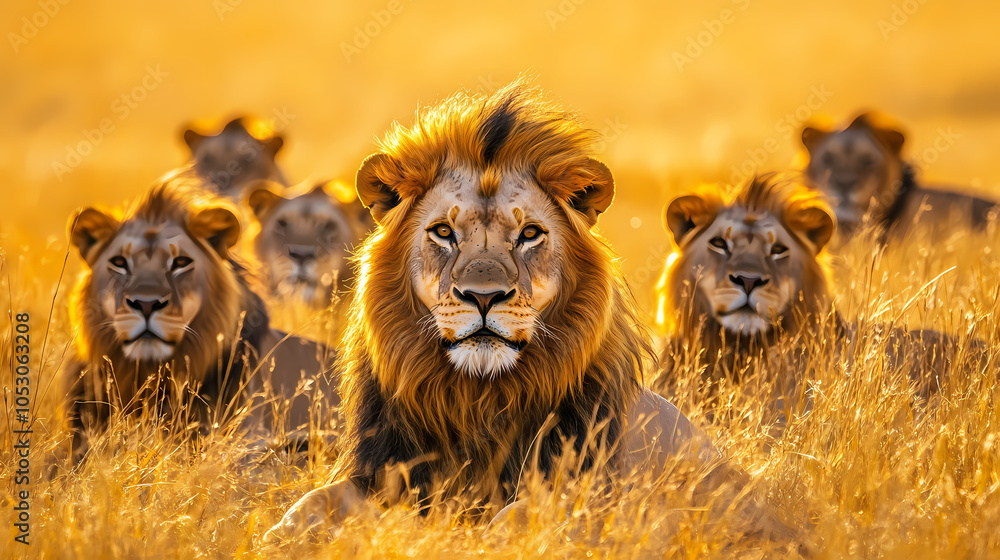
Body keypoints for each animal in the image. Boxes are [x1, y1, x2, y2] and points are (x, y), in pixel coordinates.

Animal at [264, 81, 719, 541]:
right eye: (443, 232)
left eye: (530, 234)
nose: (483, 297)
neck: (478, 395)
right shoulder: (383, 469)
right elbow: (313, 500)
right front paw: (280, 534)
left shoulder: (590, 488)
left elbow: (520, 513)